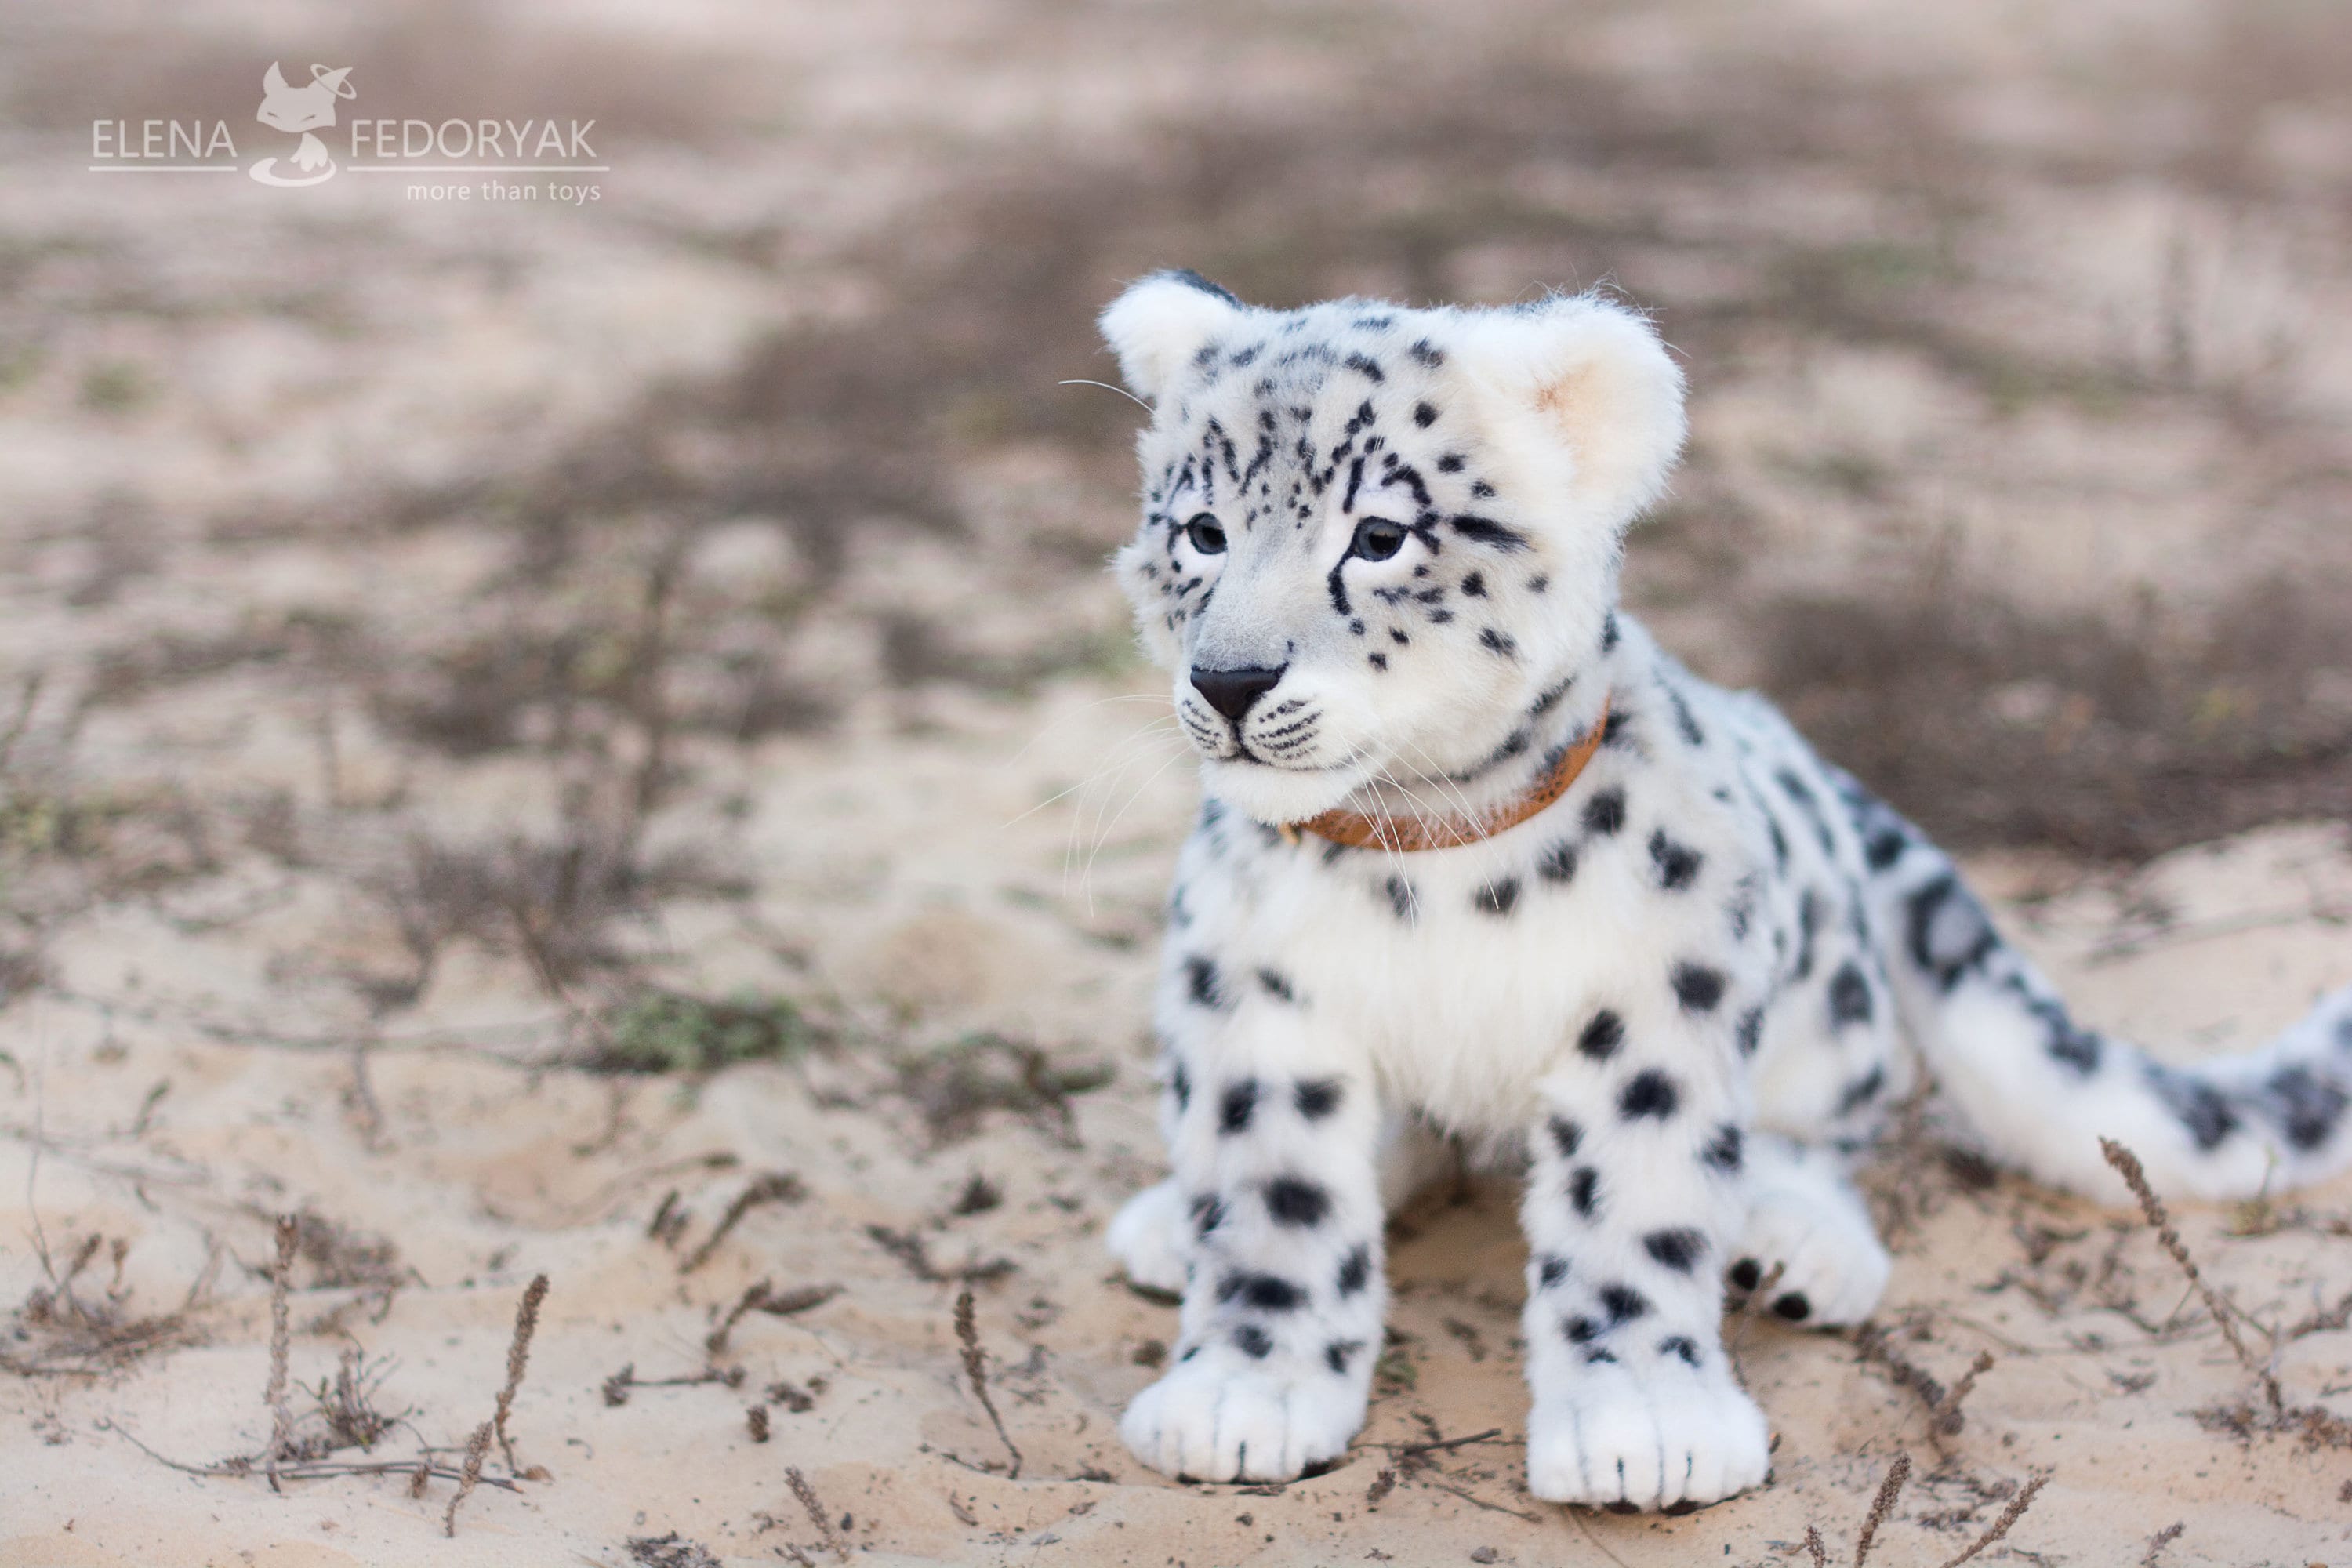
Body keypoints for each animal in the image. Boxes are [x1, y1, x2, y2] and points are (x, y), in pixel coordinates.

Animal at [1091, 269, 2352, 1511]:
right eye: (1201, 530)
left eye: (1381, 534)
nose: (1230, 679)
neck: (1425, 858)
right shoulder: (1251, 1000)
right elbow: (1276, 1201)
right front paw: (1242, 1393)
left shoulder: (1655, 998)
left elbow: (1632, 1207)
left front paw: (1645, 1427)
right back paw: (1172, 1225)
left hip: (1826, 1022)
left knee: (1825, 1139)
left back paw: (1798, 1247)